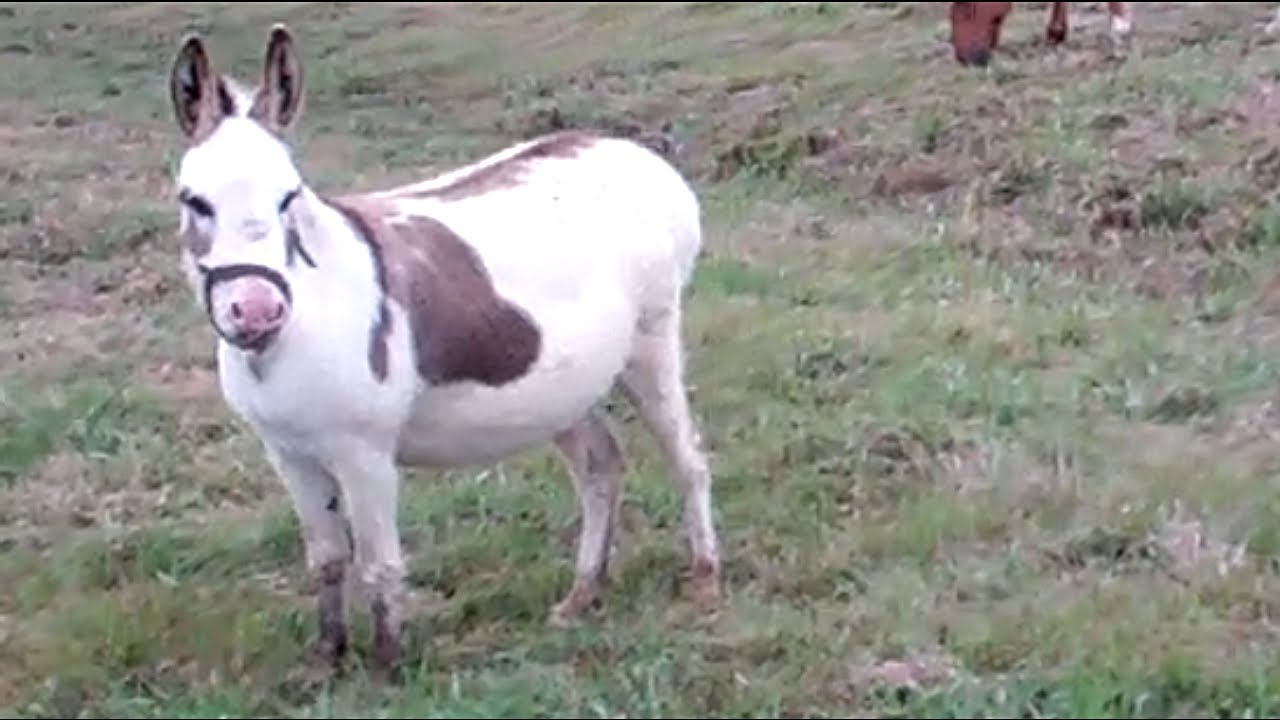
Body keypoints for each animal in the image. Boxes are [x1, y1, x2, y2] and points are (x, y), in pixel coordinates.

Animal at [165, 24, 724, 681]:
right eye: (194, 201)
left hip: (651, 341)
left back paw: (706, 579)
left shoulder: (364, 453)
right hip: (560, 385)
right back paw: (582, 595)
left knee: (688, 457)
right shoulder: (287, 453)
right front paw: (326, 661)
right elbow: (325, 559)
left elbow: (378, 563)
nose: (256, 313)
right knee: (601, 465)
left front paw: (385, 670)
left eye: (288, 198)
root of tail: (627, 147)